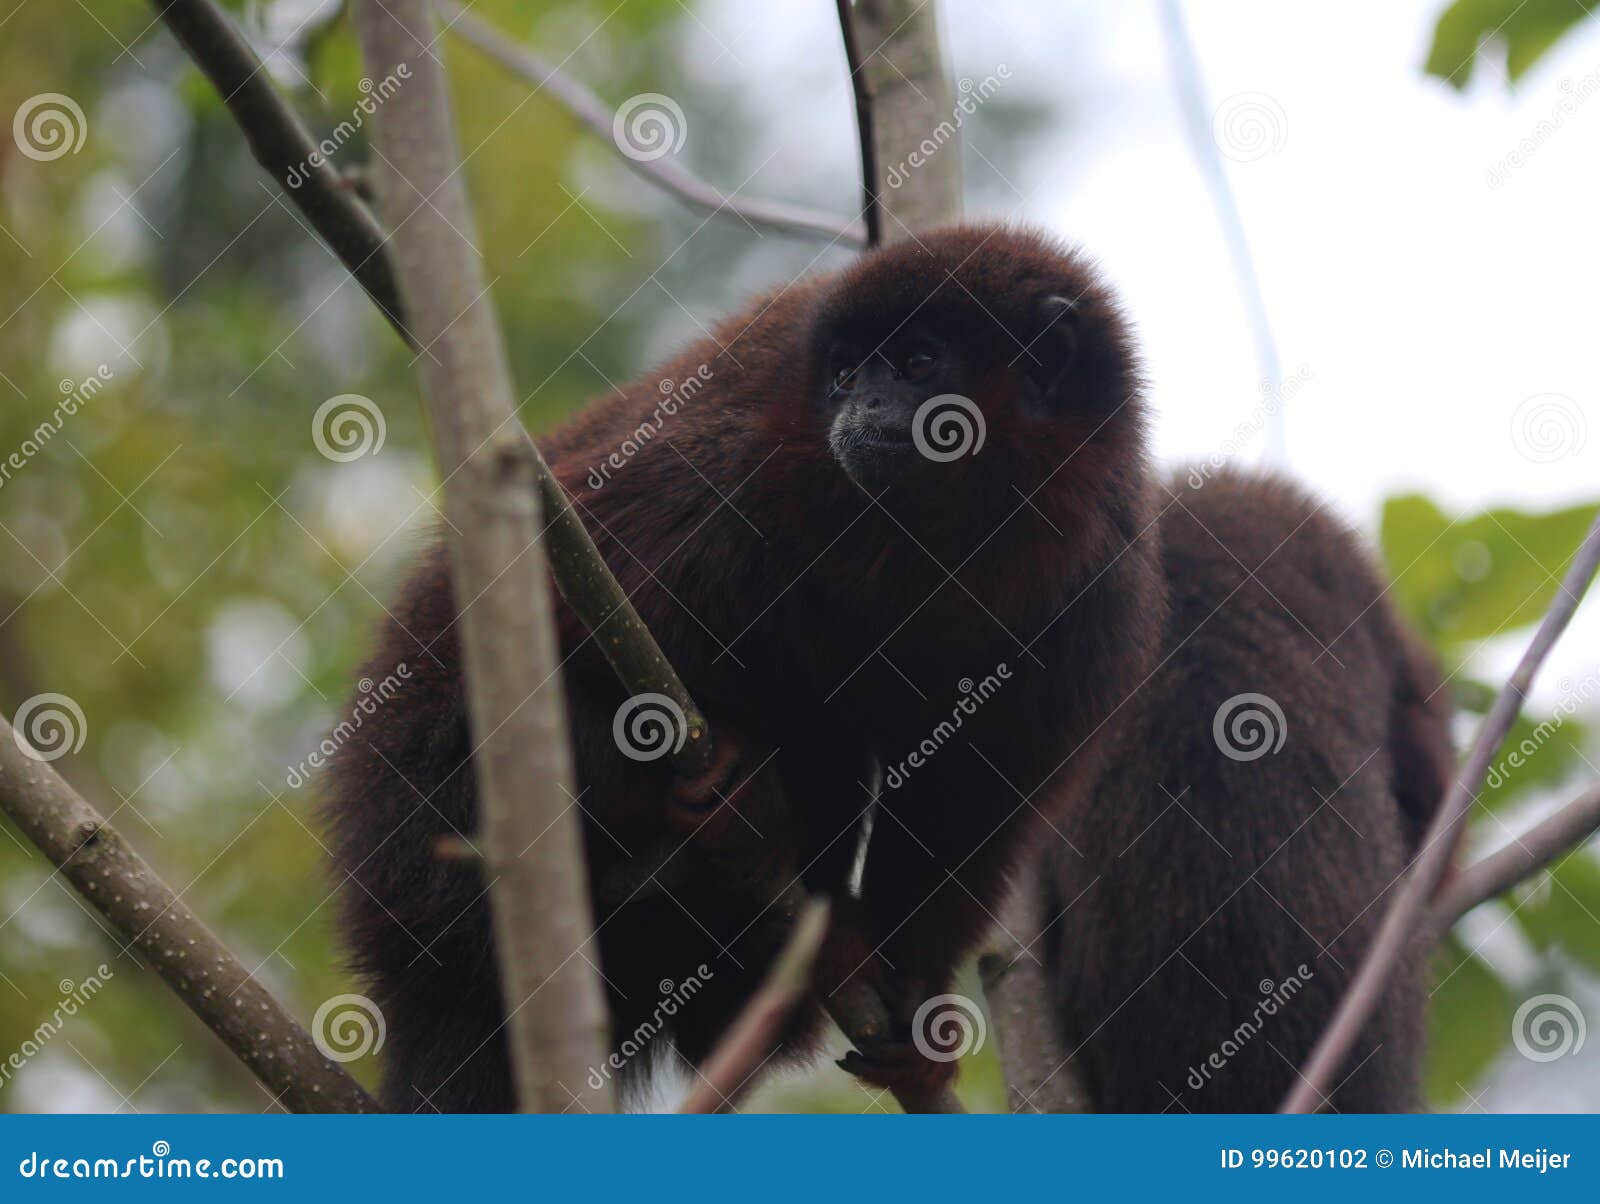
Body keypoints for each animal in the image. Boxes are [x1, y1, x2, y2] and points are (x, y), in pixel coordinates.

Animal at [325, 223, 1185, 1110]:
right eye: (845, 374)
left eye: (917, 363)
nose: (861, 408)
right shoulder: (744, 463)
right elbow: (550, 585)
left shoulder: (1100, 585)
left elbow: (982, 791)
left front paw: (912, 990)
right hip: (422, 814)